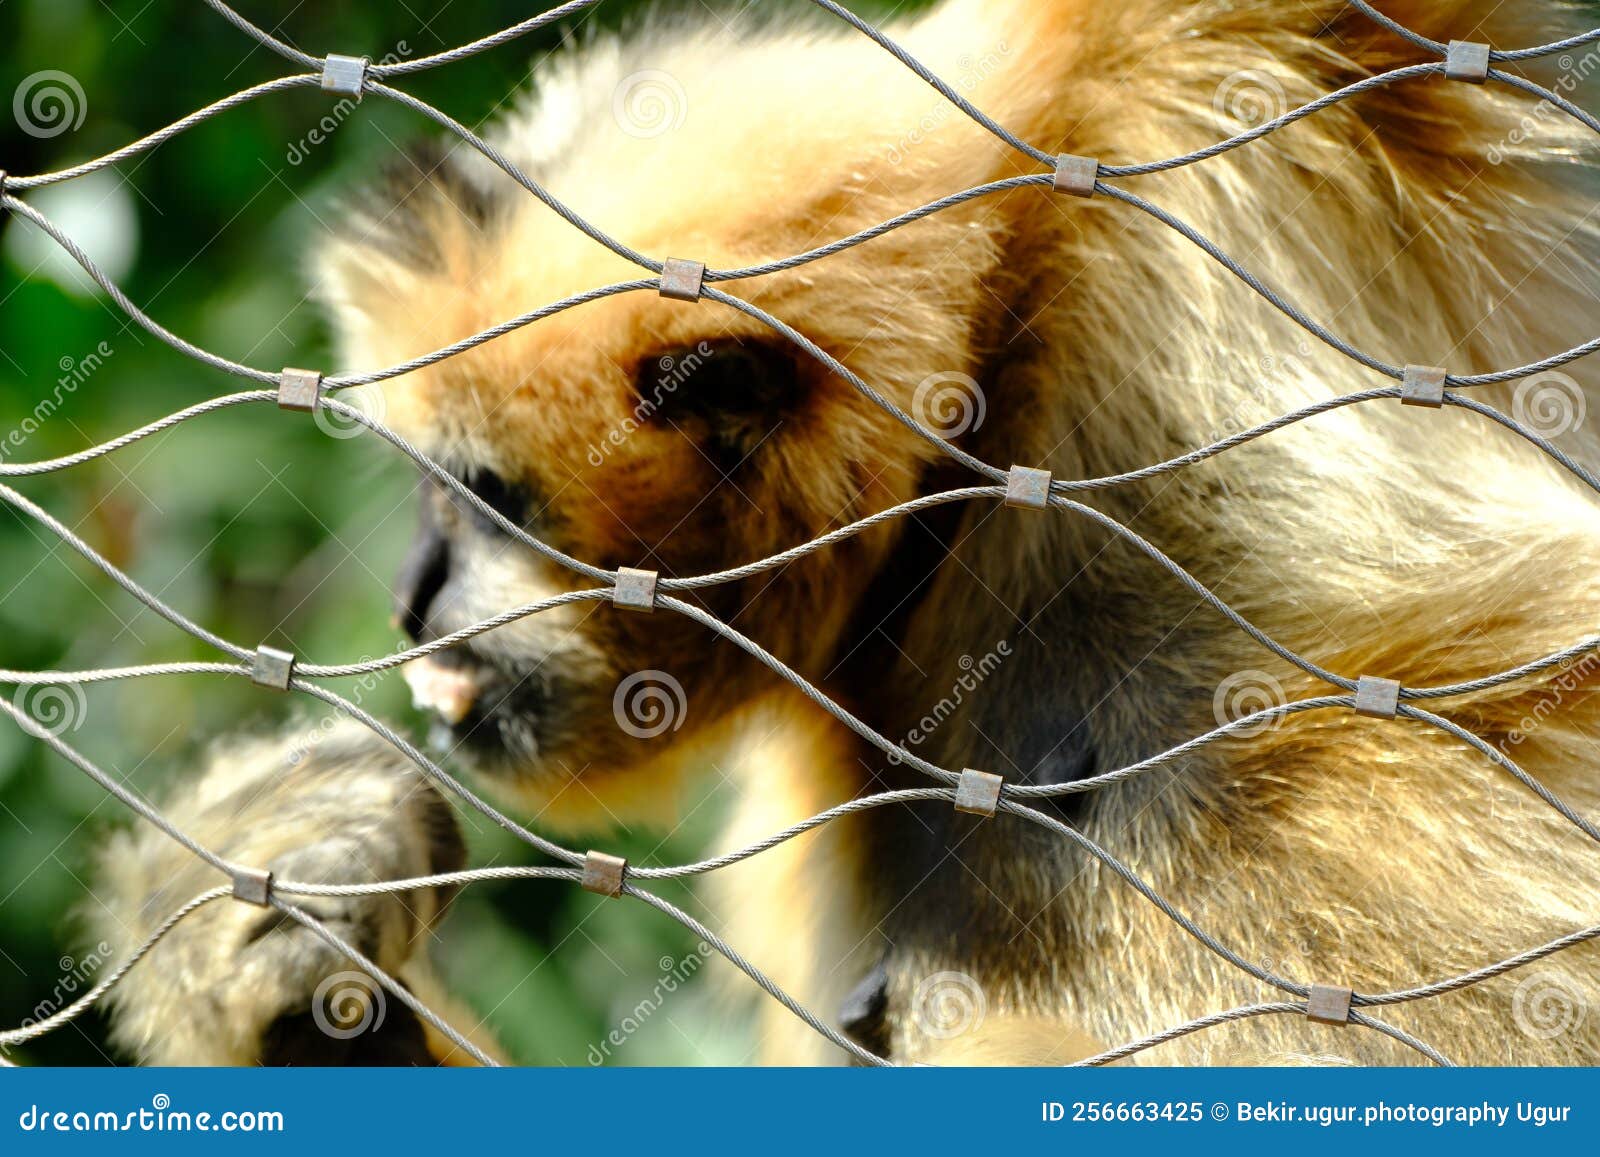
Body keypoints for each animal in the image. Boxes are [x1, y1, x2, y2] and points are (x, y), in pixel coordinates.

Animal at [88, 0, 1600, 1065]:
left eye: (478, 495)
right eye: (426, 494)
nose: (410, 594)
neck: (967, 487)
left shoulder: (1204, 137)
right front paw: (267, 959)